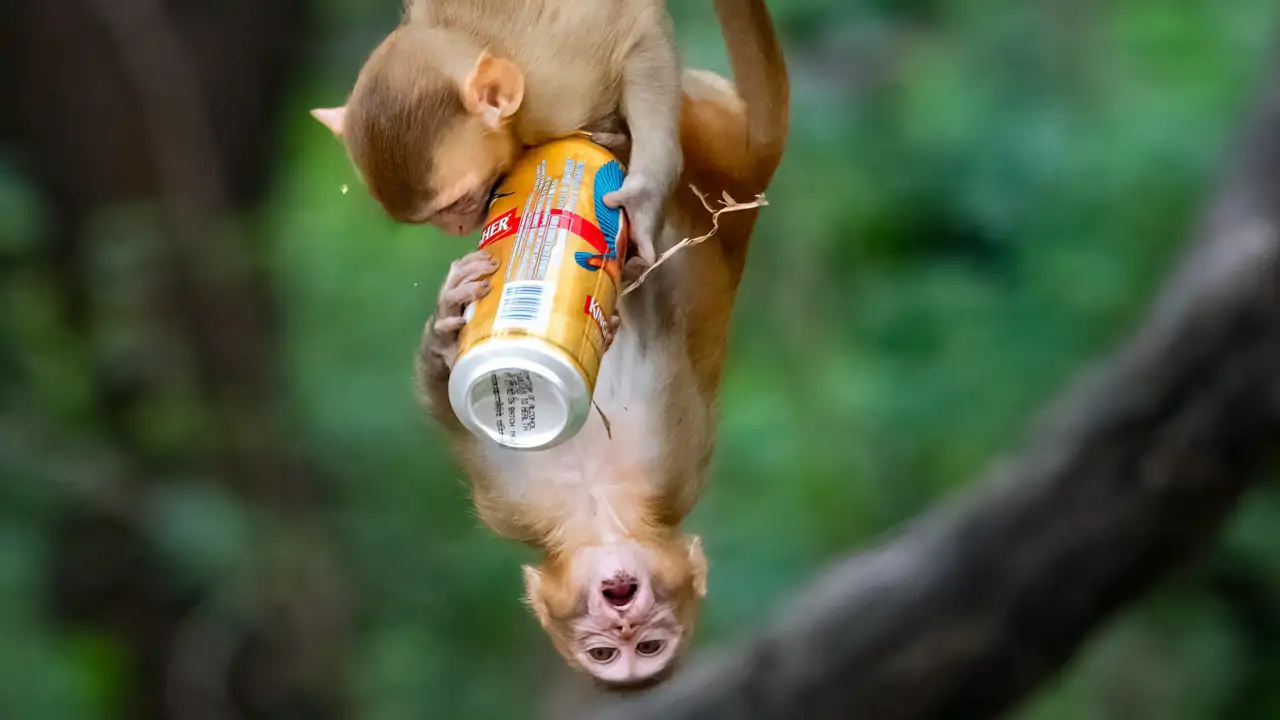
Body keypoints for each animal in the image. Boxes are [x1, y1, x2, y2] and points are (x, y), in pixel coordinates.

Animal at [310, 0, 684, 267]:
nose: (458, 230)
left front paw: (642, 197)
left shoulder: (557, 85)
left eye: (459, 201)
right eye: (430, 218)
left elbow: (641, 40)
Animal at [414, 0, 789, 686]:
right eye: (604, 654)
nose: (622, 614)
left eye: (649, 648)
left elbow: (664, 313)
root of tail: (752, 179)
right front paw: (449, 319)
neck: (601, 511)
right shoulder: (514, 504)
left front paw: (619, 299)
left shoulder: (669, 467)